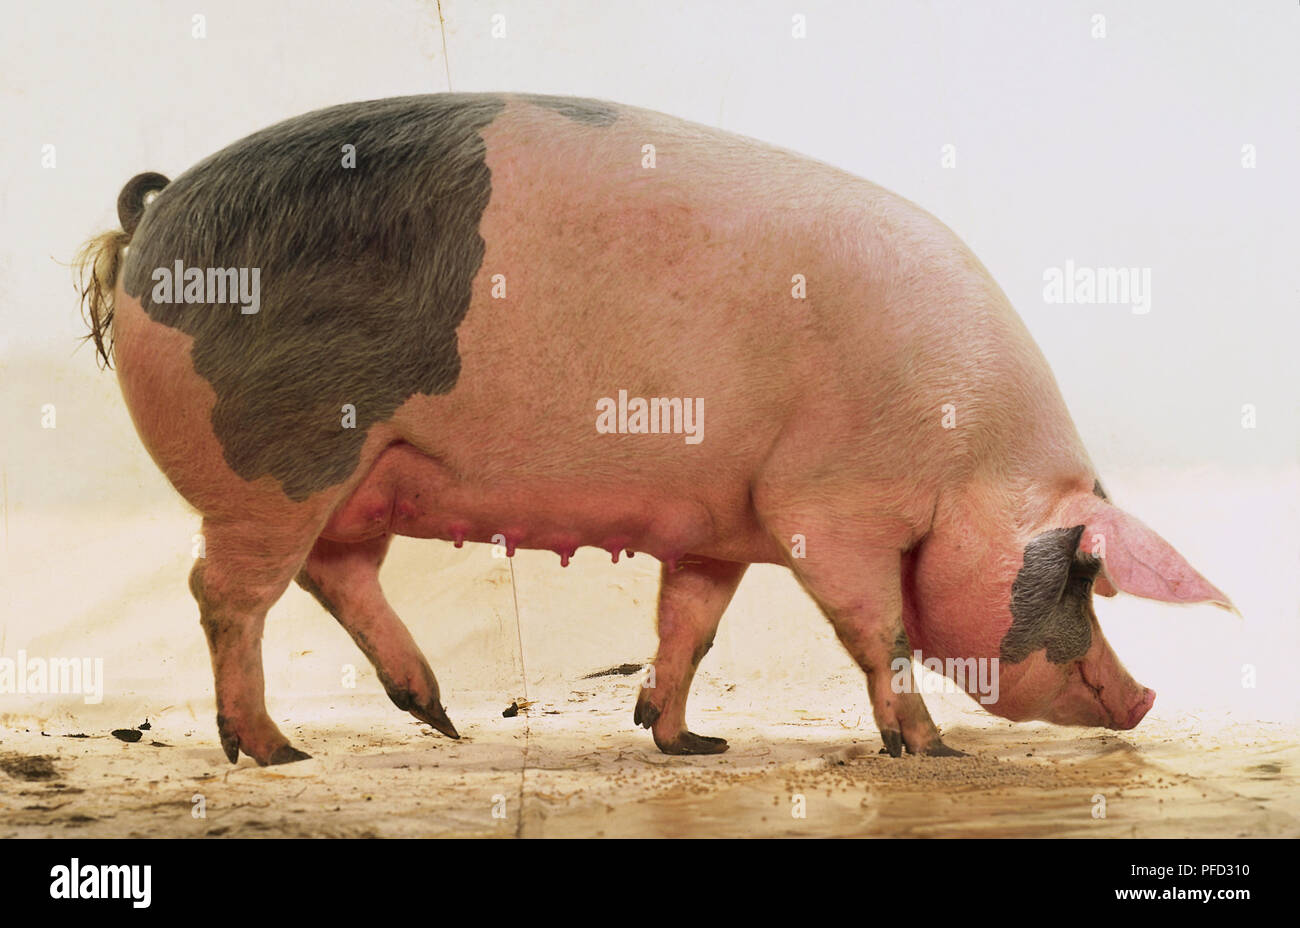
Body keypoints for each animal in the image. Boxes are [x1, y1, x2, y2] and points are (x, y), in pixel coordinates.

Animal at [77, 93, 1232, 766]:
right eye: (1085, 575)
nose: (1143, 699)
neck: (965, 460)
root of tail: (152, 213)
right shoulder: (825, 508)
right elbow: (878, 631)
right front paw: (929, 750)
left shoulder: (718, 528)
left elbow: (692, 627)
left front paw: (685, 742)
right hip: (277, 464)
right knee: (226, 593)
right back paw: (275, 752)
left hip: (352, 481)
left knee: (333, 575)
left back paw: (439, 717)